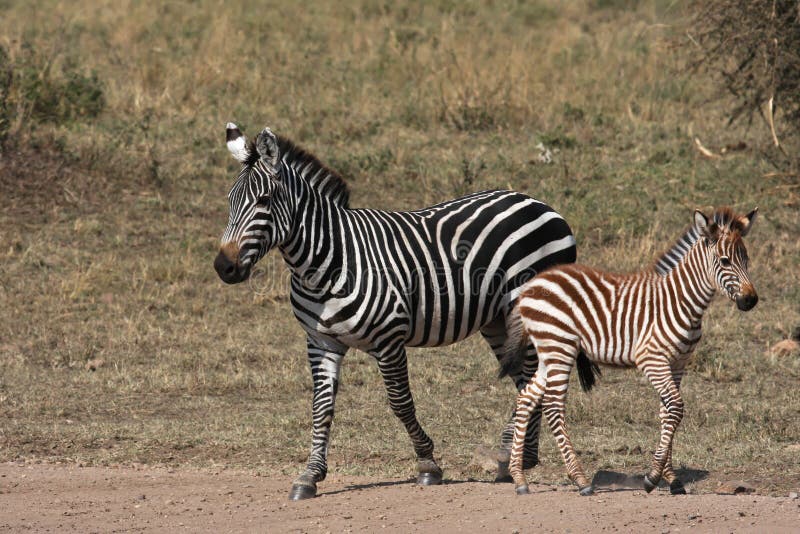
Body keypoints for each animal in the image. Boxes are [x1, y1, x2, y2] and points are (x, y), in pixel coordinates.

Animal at [213, 123, 587, 500]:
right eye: (229, 201)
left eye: (263, 201)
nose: (223, 267)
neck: (327, 260)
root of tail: (540, 203)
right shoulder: (320, 341)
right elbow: (321, 406)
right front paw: (310, 474)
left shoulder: (389, 338)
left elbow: (400, 402)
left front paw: (428, 464)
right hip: (497, 320)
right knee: (527, 378)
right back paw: (516, 457)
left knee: (537, 375)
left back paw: (519, 456)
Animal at [500, 206, 758, 496]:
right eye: (725, 261)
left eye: (746, 259)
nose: (751, 300)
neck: (680, 301)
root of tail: (530, 286)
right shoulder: (651, 359)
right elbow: (676, 407)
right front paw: (652, 477)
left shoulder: (677, 363)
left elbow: (667, 412)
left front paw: (671, 478)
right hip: (560, 347)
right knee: (553, 406)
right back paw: (580, 479)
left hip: (549, 351)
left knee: (527, 397)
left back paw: (519, 478)